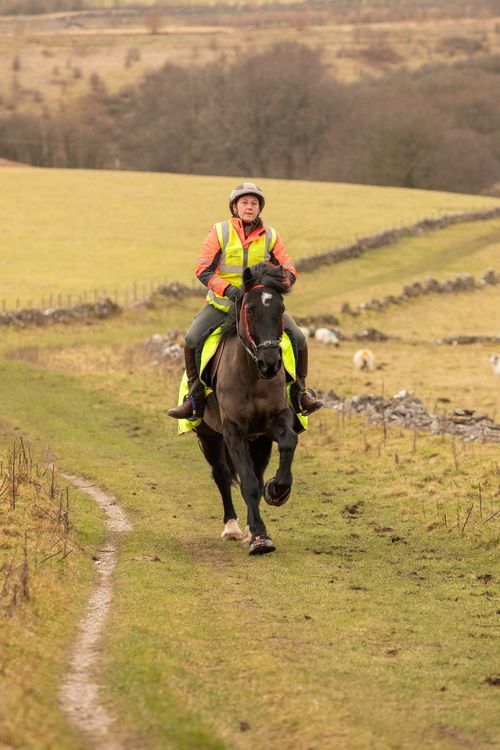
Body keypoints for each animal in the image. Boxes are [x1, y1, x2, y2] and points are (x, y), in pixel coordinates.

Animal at [195, 262, 299, 555]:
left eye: (281, 309)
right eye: (250, 309)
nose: (270, 364)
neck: (252, 375)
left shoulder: (273, 424)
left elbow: (288, 442)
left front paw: (278, 490)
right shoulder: (234, 431)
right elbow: (248, 483)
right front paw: (260, 538)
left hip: (258, 441)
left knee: (255, 471)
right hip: (209, 435)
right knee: (222, 474)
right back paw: (232, 527)